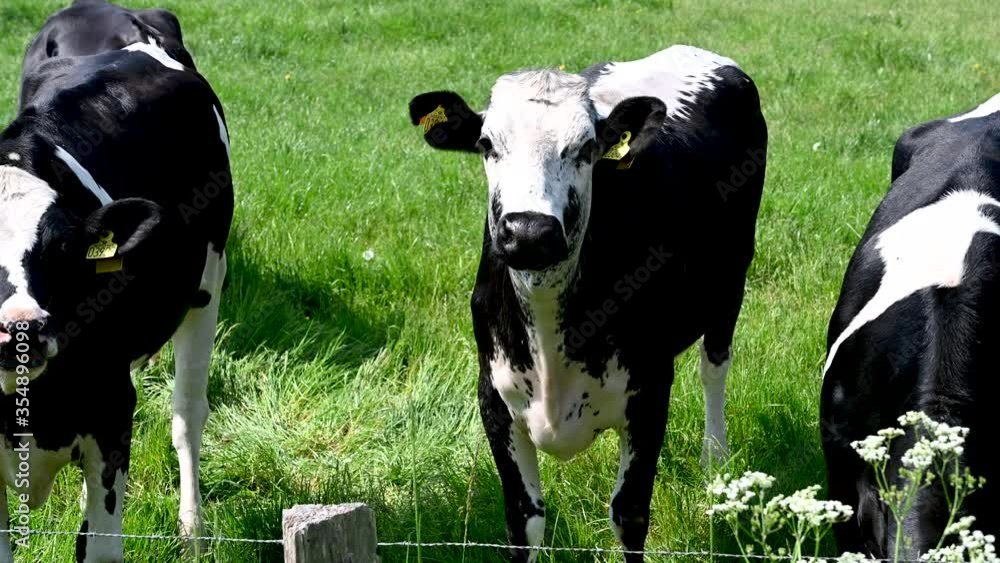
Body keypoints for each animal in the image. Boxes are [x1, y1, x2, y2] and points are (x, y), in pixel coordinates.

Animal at [0, 2, 232, 561]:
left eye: (63, 252)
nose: (22, 331)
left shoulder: (109, 414)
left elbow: (100, 547)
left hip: (207, 284)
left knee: (187, 414)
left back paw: (193, 531)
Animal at [408, 45, 767, 562]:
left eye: (585, 149)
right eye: (487, 144)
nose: (529, 232)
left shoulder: (650, 392)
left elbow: (629, 514)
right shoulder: (493, 398)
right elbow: (524, 521)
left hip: (731, 277)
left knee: (714, 365)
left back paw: (714, 458)